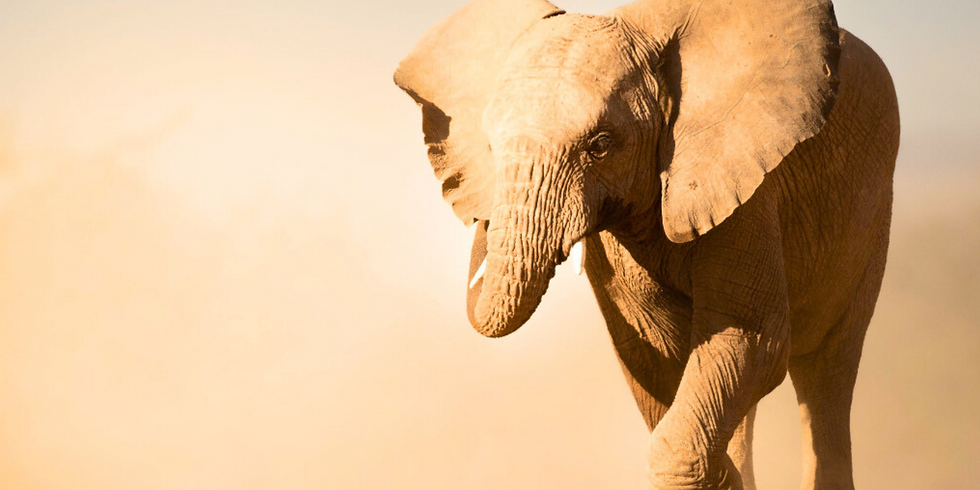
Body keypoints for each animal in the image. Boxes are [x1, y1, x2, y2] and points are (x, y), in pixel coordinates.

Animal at [394, 0, 899, 488]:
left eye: (600, 145)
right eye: (491, 147)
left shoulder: (746, 184)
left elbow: (755, 339)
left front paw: (714, 470)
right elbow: (654, 358)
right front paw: (723, 471)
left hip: (873, 214)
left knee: (828, 369)